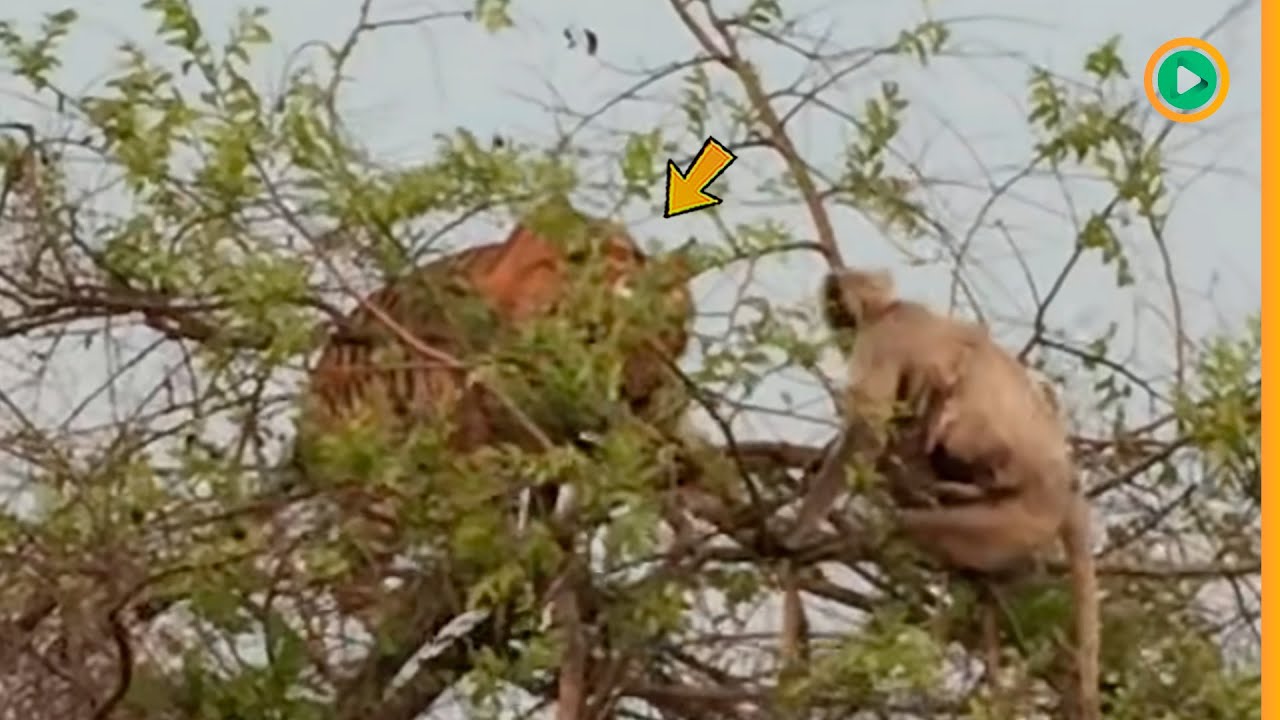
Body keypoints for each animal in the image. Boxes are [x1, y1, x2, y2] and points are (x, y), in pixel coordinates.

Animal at [789, 267, 1099, 720]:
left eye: (838, 301)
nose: (839, 323)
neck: (893, 308)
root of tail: (1066, 484)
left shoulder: (884, 336)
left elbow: (867, 432)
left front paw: (795, 533)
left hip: (1018, 518)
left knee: (917, 505)